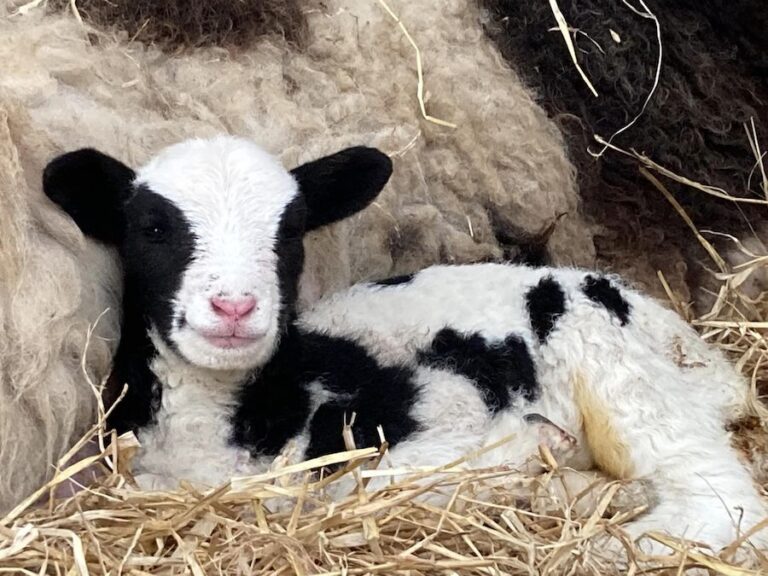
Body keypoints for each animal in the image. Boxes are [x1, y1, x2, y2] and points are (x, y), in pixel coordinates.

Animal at [43, 134, 768, 558]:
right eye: (151, 227)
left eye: (292, 230)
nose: (234, 308)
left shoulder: (444, 414)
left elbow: (386, 482)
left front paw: (527, 469)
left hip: (614, 358)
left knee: (721, 494)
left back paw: (610, 541)